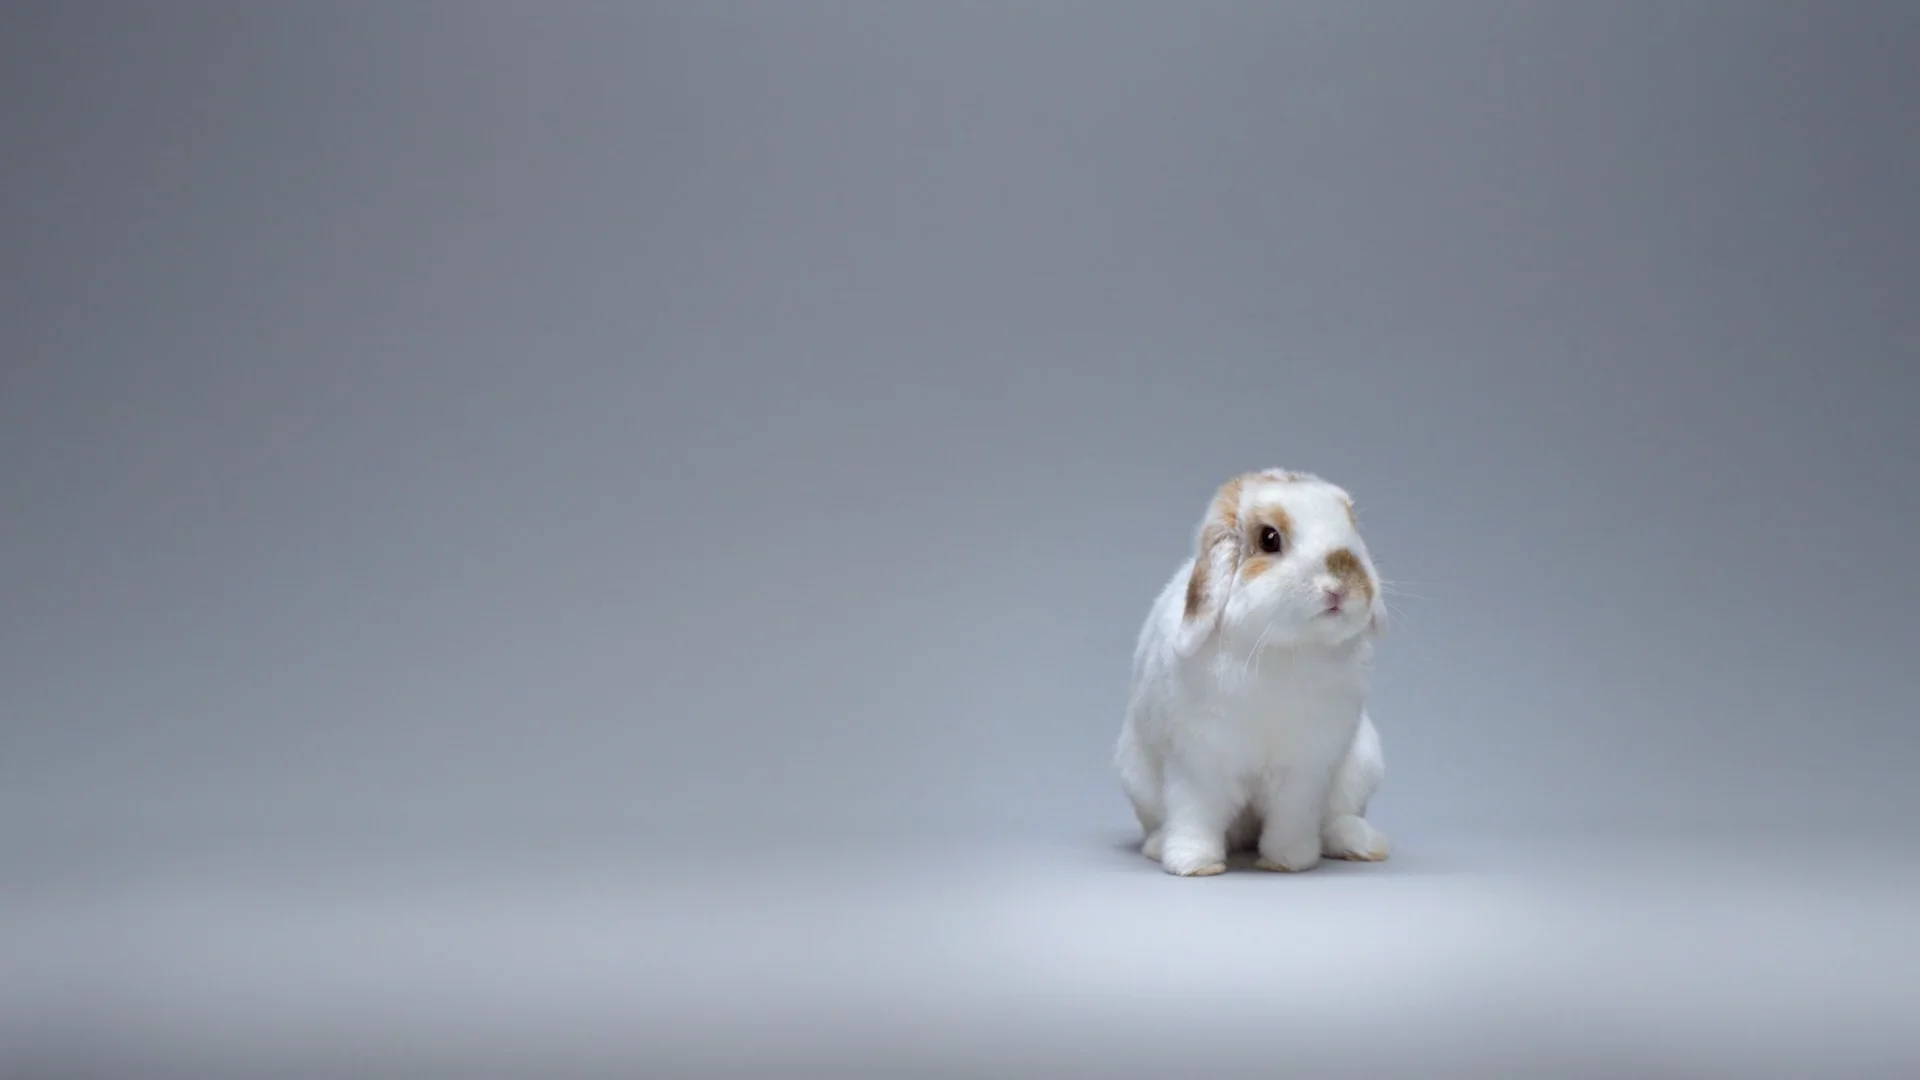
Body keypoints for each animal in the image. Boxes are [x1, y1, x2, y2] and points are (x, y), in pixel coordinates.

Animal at [1115, 468, 1392, 877]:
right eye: (1269, 538)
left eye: (1350, 524)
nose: (1342, 585)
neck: (1288, 648)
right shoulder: (1198, 765)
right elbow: (1194, 815)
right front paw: (1195, 865)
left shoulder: (1304, 770)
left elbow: (1292, 817)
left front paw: (1287, 862)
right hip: (1136, 775)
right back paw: (1157, 845)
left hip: (1361, 767)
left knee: (1335, 819)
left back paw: (1363, 845)